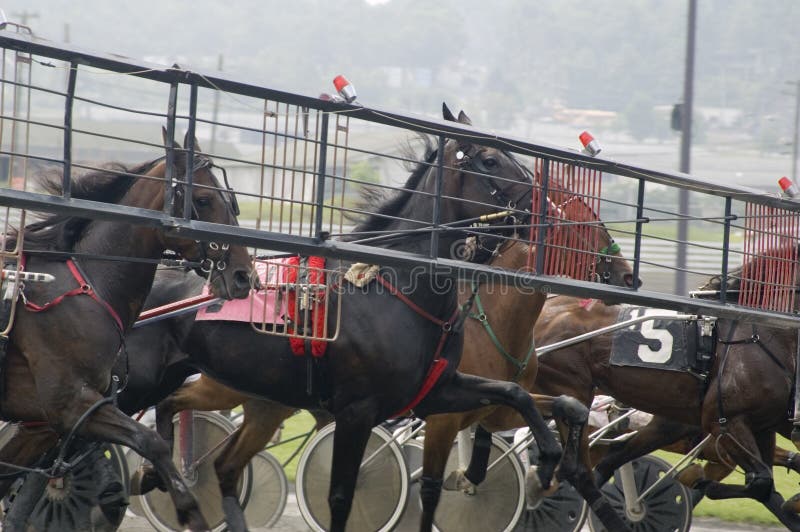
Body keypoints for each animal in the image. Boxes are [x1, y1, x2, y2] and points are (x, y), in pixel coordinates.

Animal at [0, 131, 252, 531]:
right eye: (203, 199)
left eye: (231, 200)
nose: (244, 275)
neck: (84, 285)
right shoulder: (70, 405)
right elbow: (151, 442)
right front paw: (189, 510)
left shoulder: (46, 420)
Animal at [127, 104, 570, 532]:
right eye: (491, 160)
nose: (550, 209)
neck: (395, 288)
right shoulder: (357, 411)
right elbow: (341, 498)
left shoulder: (436, 392)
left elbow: (516, 394)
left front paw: (547, 462)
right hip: (151, 381)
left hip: (255, 399)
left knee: (210, 448)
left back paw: (155, 471)